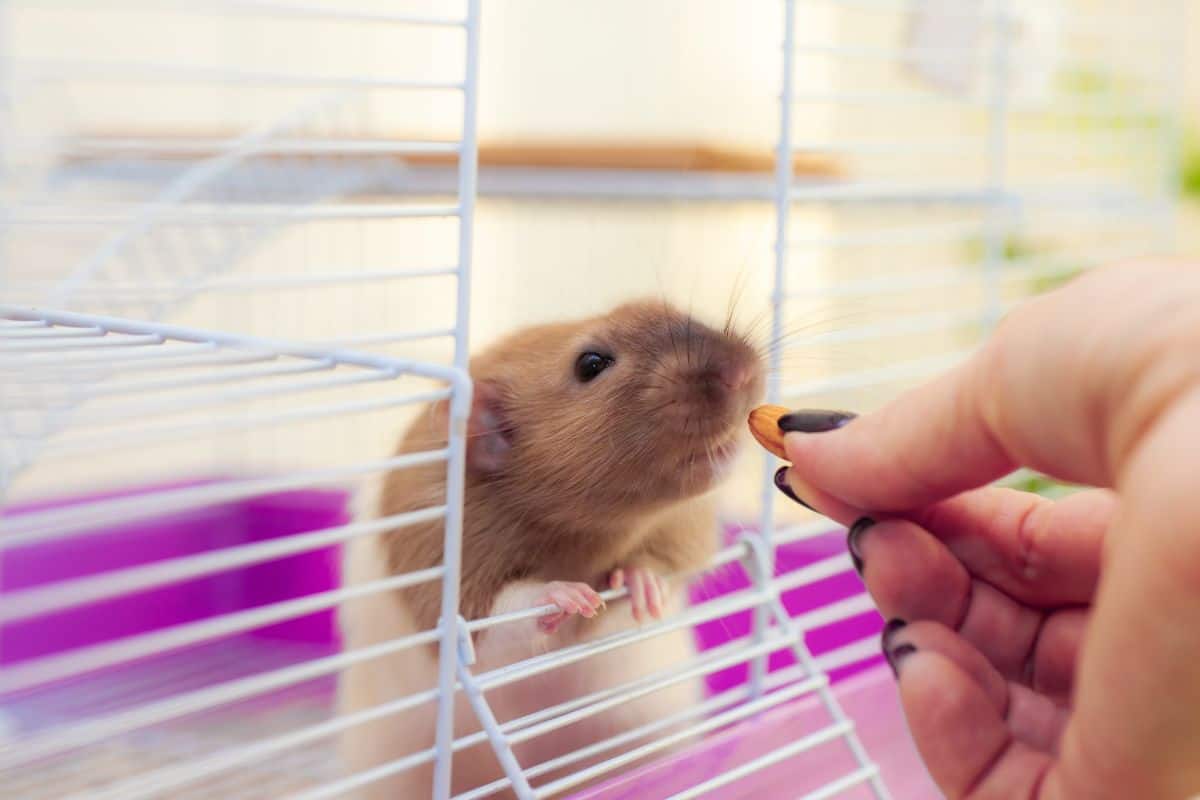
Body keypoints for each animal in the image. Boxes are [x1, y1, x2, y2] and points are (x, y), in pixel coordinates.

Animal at [337, 300, 764, 799]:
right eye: (591, 365)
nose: (741, 369)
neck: (583, 538)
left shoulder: (681, 528)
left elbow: (670, 567)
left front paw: (642, 582)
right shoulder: (438, 554)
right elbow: (487, 623)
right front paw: (560, 593)